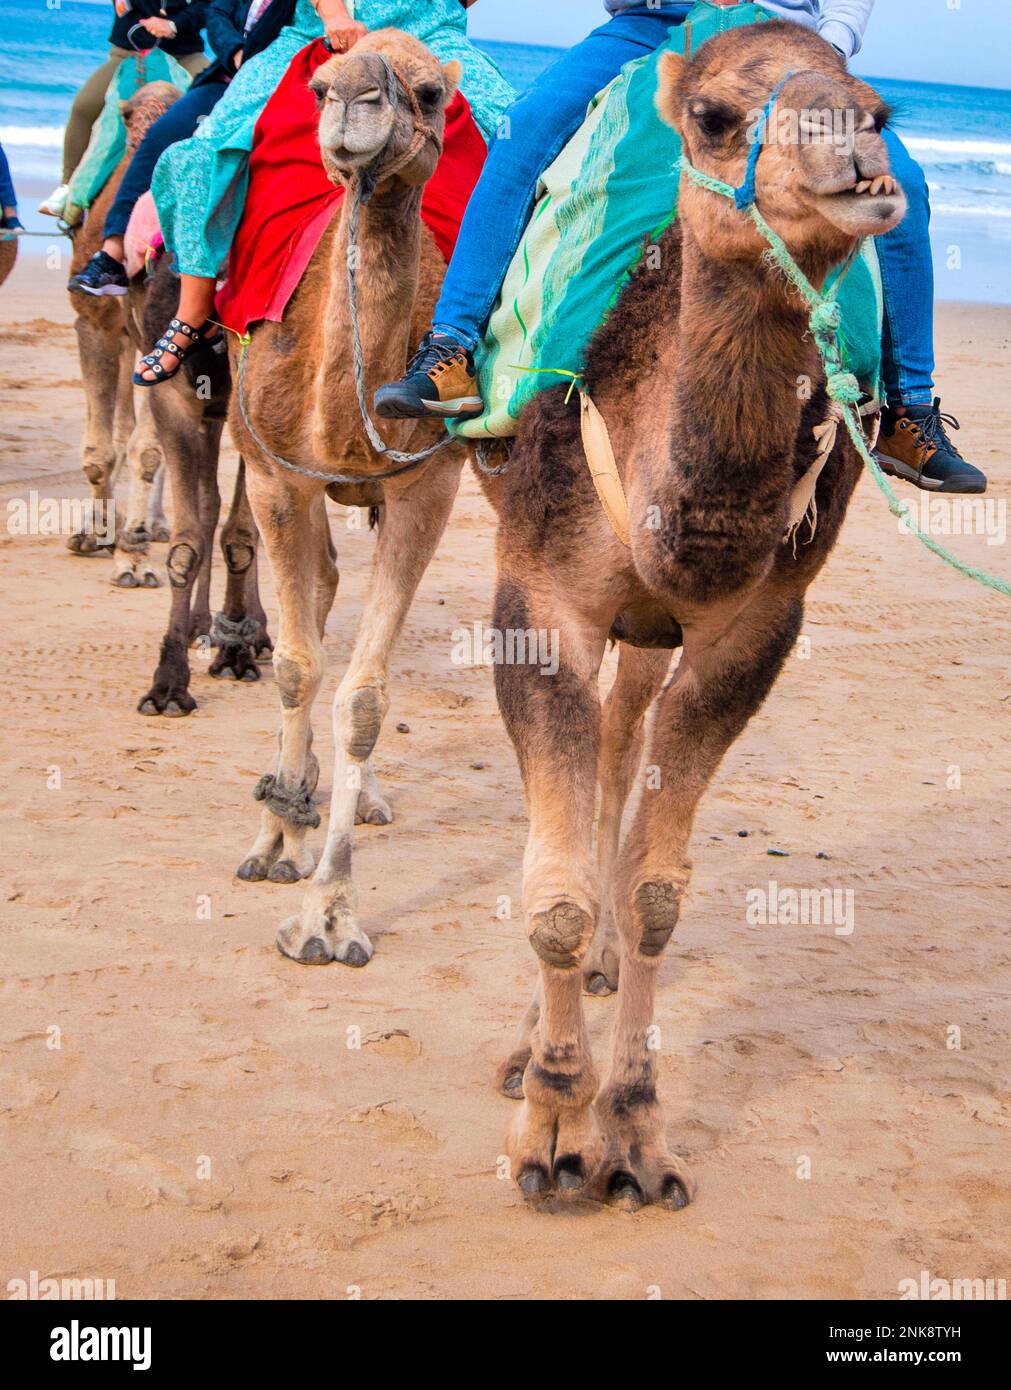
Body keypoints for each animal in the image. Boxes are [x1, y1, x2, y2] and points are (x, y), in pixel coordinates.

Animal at [228, 30, 467, 946]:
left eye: (431, 93)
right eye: (320, 84)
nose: (352, 105)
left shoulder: (426, 485)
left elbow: (364, 696)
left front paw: (329, 915)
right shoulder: (276, 476)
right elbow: (296, 668)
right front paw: (277, 838)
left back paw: (358, 795)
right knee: (320, 594)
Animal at [488, 21, 906, 1209]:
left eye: (878, 110)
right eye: (716, 119)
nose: (859, 161)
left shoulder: (756, 627)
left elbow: (654, 893)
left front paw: (631, 1138)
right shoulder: (539, 596)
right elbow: (556, 894)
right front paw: (549, 1130)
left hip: (654, 633)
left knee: (621, 749)